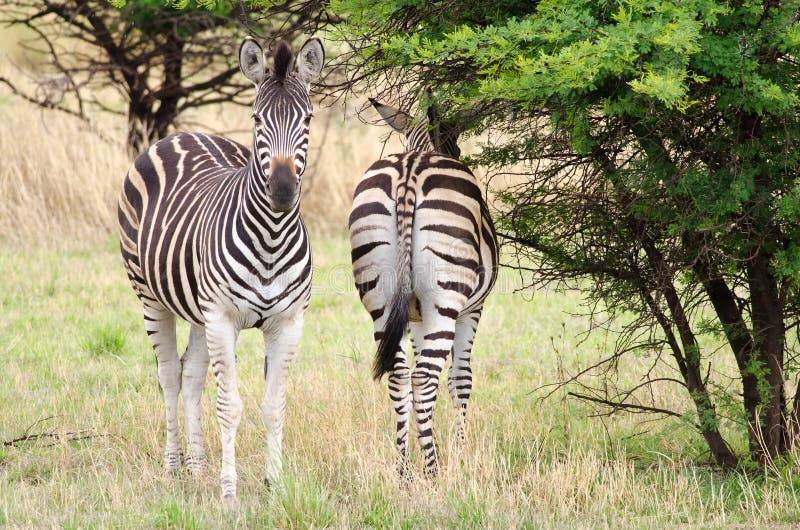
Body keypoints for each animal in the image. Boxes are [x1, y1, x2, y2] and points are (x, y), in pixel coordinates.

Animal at [117, 36, 324, 499]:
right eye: (257, 118)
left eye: (307, 118)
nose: (282, 189)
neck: (271, 239)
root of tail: (180, 134)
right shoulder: (223, 318)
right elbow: (229, 406)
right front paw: (229, 491)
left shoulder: (288, 322)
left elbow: (274, 406)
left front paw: (274, 485)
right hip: (152, 297)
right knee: (169, 376)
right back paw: (174, 466)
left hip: (198, 311)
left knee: (191, 375)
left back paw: (196, 467)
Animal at [349, 98, 499, 477]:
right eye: (455, 145)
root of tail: (409, 172)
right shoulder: (471, 310)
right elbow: (460, 380)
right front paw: (462, 456)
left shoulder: (413, 316)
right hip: (444, 300)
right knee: (424, 378)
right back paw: (433, 471)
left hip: (381, 300)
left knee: (401, 377)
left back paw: (403, 471)